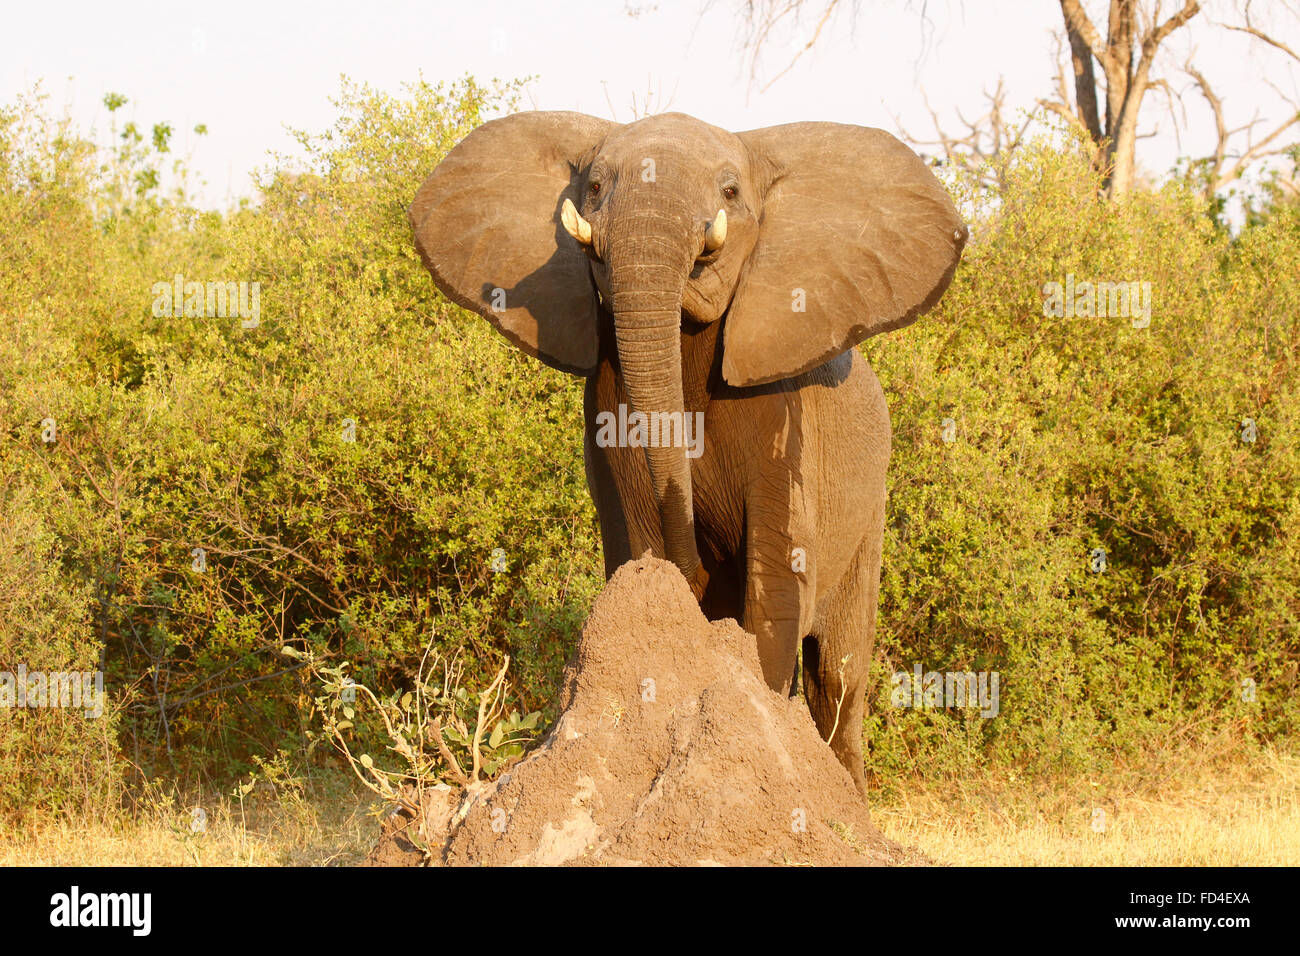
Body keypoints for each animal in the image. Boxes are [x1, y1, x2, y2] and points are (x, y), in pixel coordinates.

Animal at [409, 110, 966, 794]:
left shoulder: (784, 414)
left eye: (730, 192)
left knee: (838, 677)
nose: (696, 563)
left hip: (869, 519)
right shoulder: (608, 396)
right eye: (595, 187)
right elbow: (637, 549)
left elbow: (776, 584)